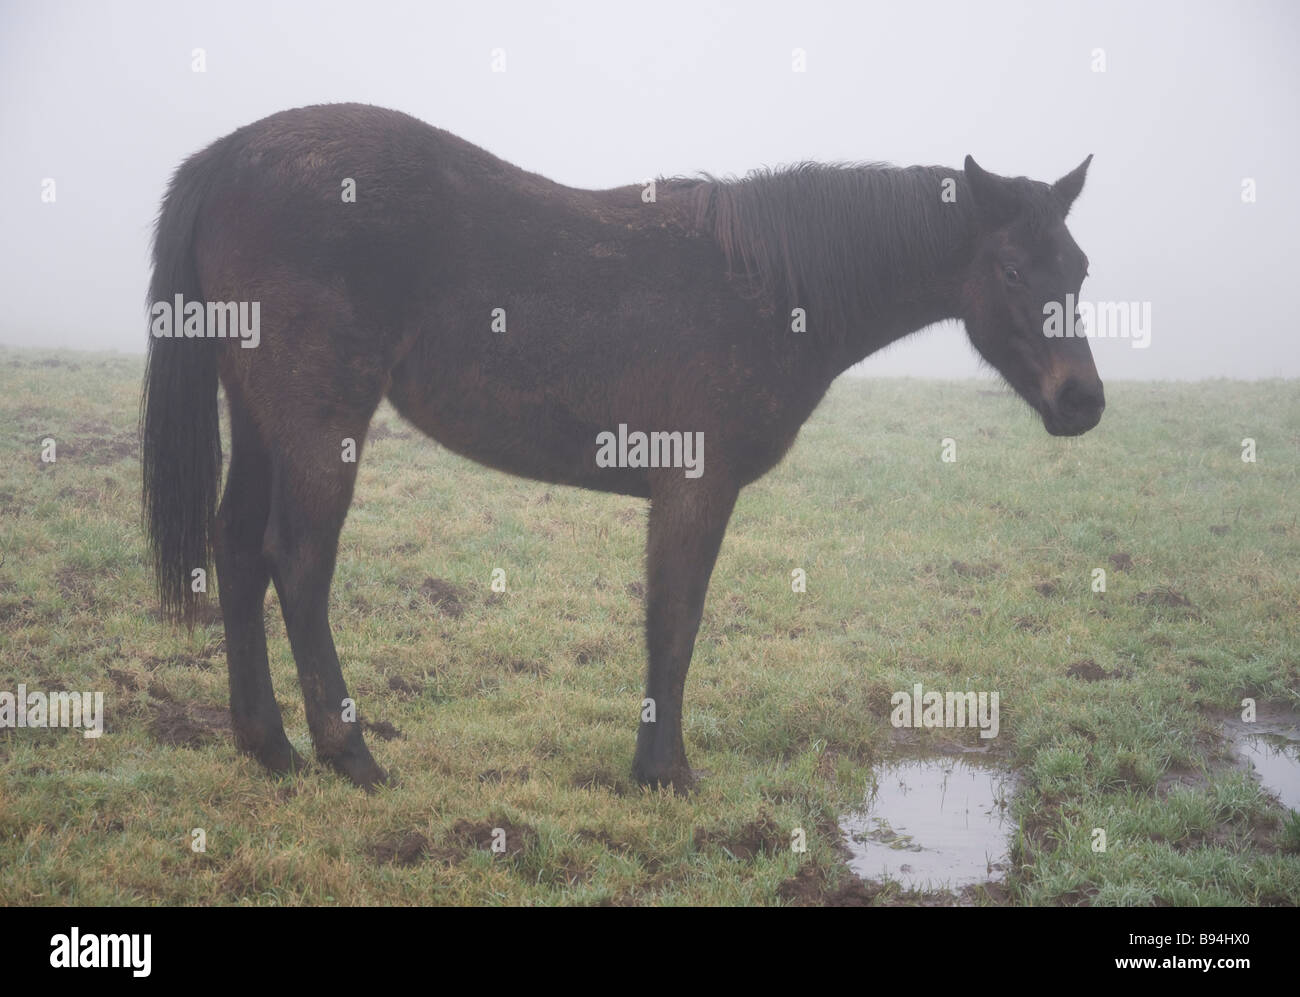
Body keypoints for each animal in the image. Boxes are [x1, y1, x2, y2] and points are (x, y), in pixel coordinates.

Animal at [142, 103, 1102, 793]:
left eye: (1081, 267)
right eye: (1012, 268)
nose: (1083, 402)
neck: (768, 287)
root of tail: (228, 156)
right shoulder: (696, 484)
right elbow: (675, 621)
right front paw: (664, 771)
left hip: (261, 418)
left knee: (238, 549)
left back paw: (269, 747)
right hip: (320, 424)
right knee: (298, 563)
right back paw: (352, 756)